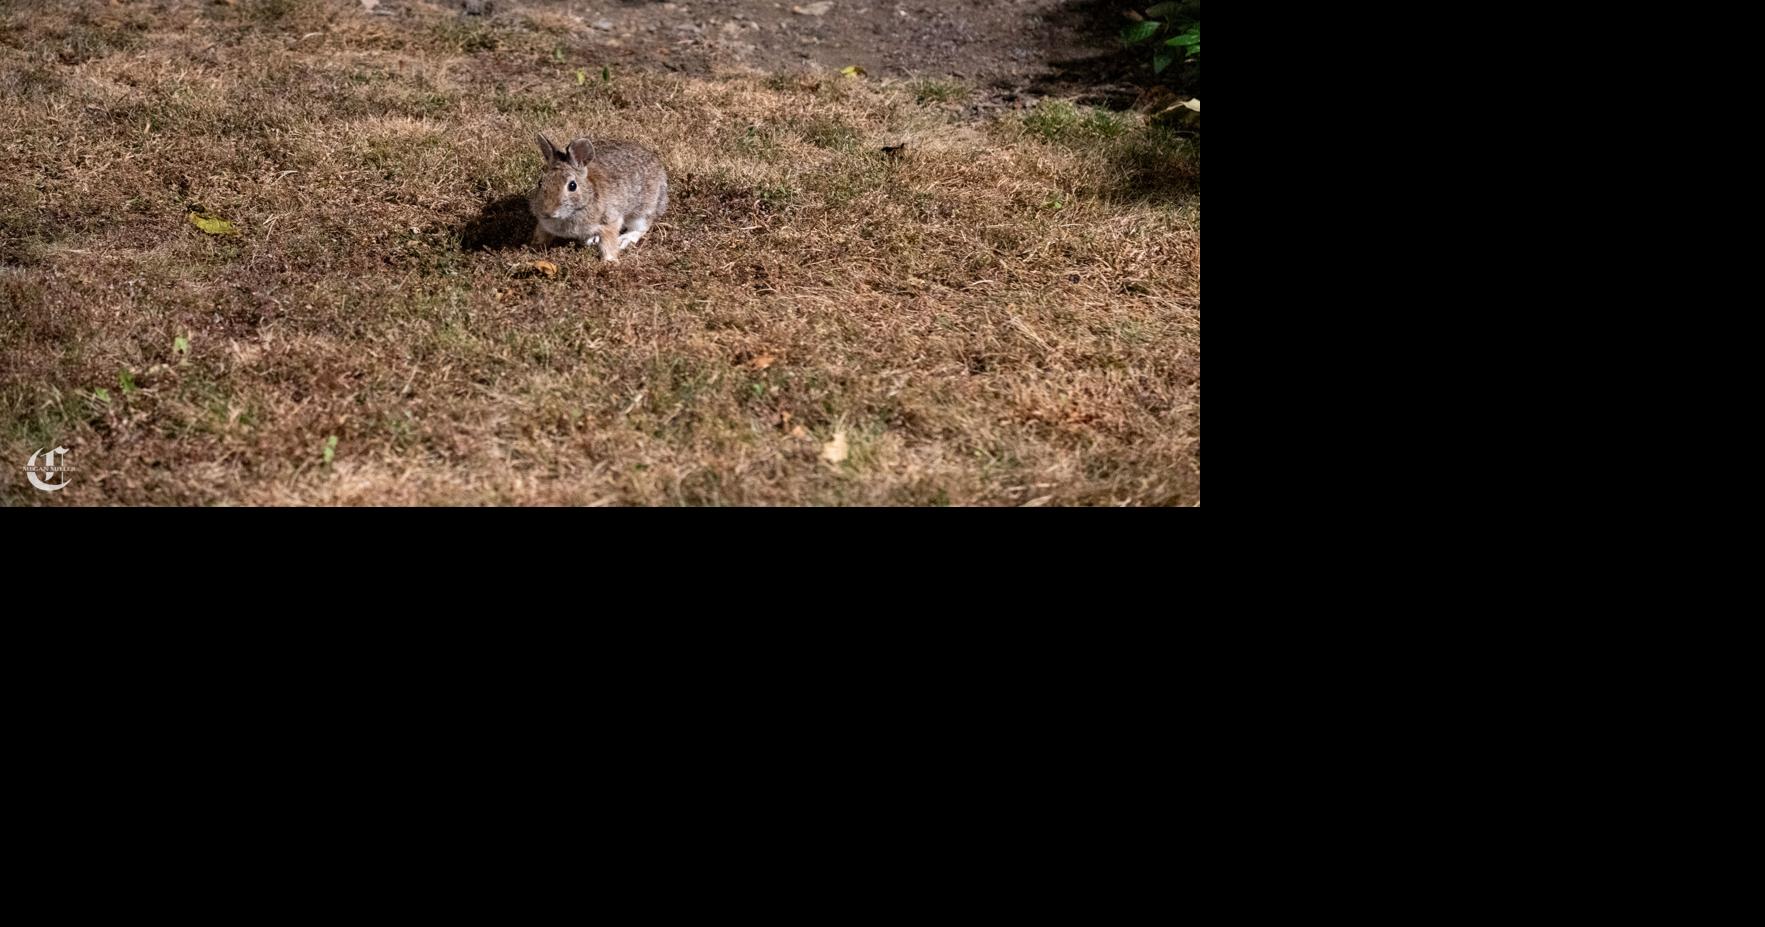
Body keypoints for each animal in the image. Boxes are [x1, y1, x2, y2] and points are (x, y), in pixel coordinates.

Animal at [529, 134, 669, 263]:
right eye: (540, 182)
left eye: (572, 186)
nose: (547, 212)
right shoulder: (544, 225)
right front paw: (534, 247)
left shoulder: (610, 221)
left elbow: (608, 243)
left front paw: (610, 261)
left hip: (643, 211)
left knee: (641, 228)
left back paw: (624, 239)